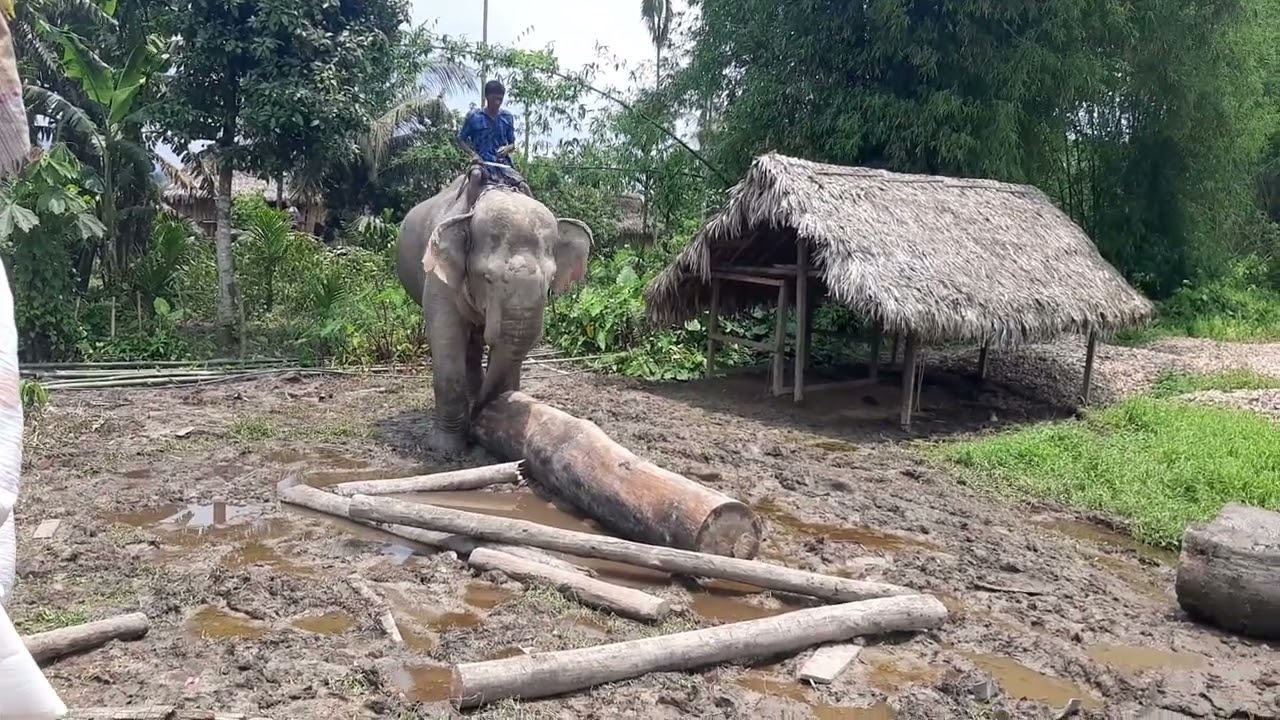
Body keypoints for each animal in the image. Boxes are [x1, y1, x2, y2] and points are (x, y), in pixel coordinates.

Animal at [395, 173, 593, 455]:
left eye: (551, 280)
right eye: (487, 278)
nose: (475, 422)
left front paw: (503, 411)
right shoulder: (438, 279)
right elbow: (446, 336)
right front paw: (446, 449)